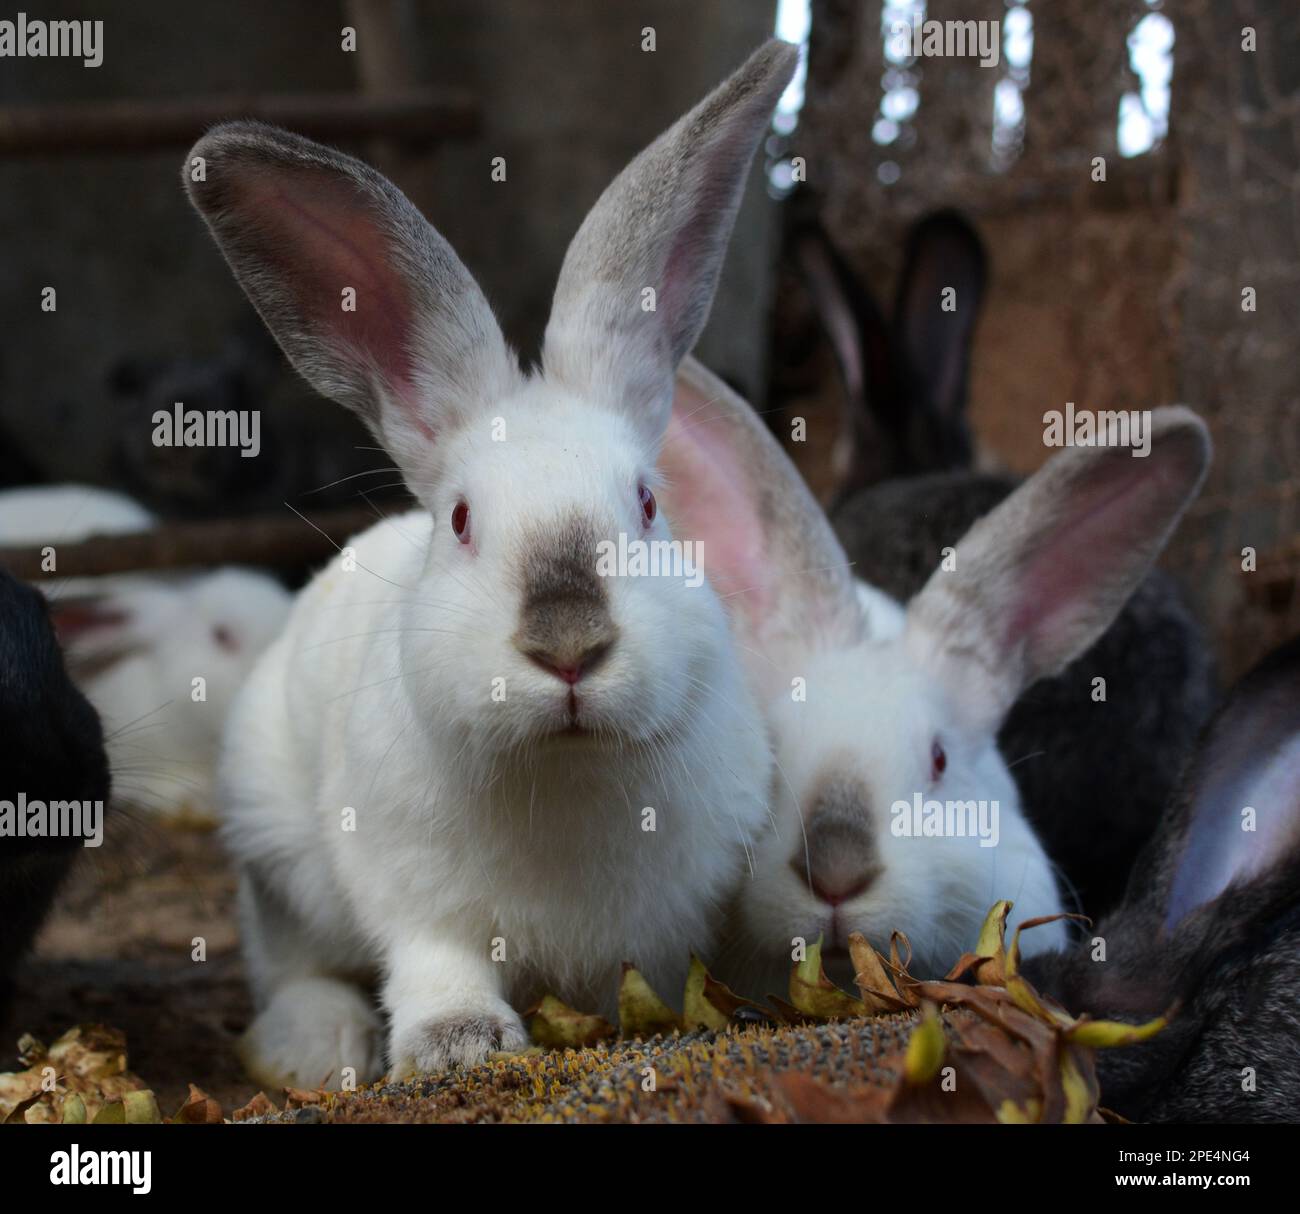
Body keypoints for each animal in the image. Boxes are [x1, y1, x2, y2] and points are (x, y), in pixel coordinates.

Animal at [183, 41, 799, 1087]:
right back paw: (321, 1045)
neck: (565, 768)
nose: (569, 646)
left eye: (647, 504)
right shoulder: (410, 890)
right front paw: (457, 1045)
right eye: (463, 520)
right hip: (274, 854)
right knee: (295, 968)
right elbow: (437, 962)